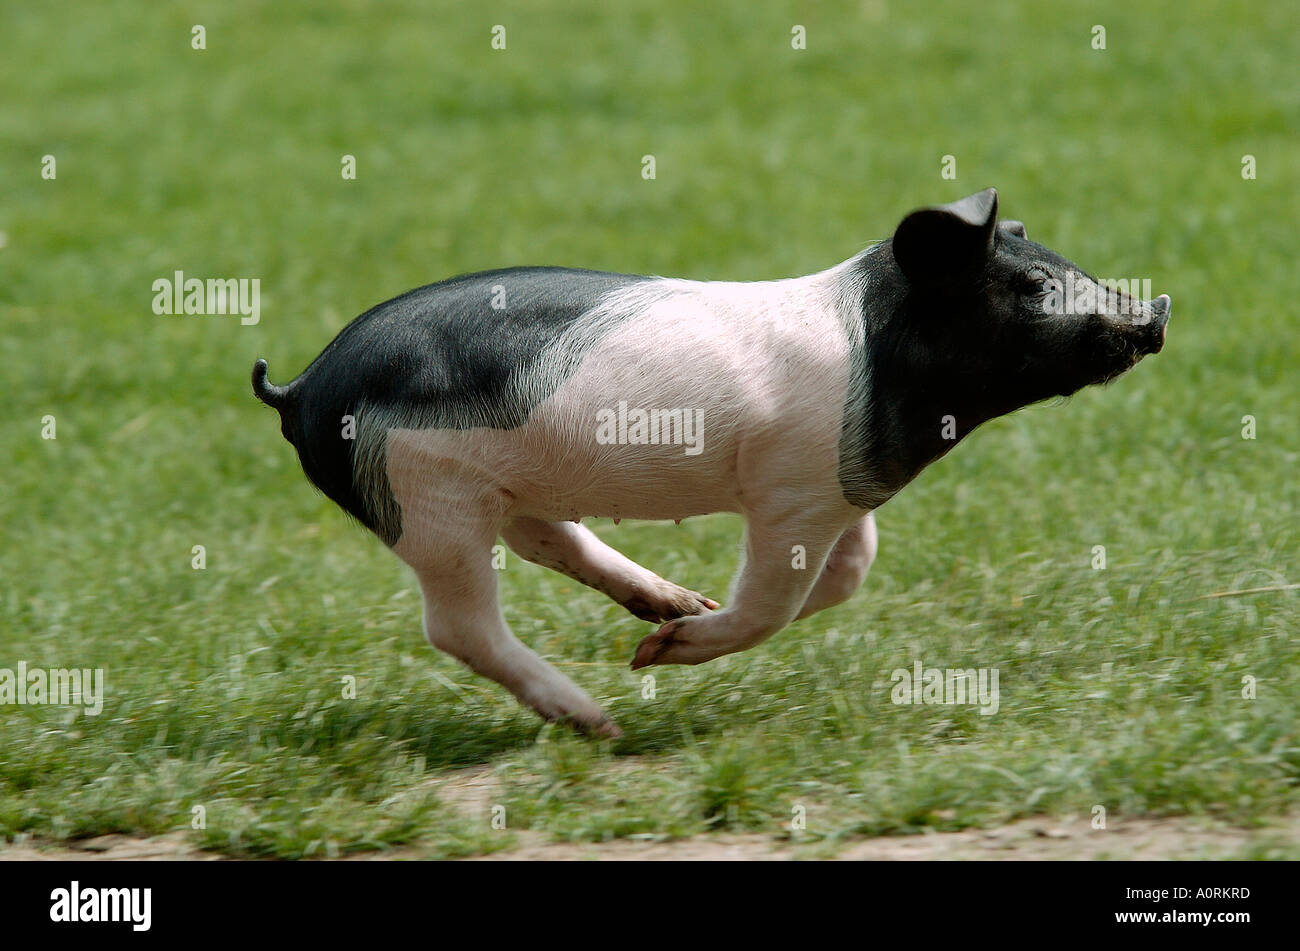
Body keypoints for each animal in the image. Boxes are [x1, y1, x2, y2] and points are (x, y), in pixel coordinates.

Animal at [252, 188, 1170, 737]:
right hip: (429, 497)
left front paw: (669, 631)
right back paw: (603, 718)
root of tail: (299, 387)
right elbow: (773, 597)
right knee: (458, 623)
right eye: (1032, 288)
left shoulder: (838, 488)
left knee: (548, 538)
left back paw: (667, 605)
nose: (1156, 312)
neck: (883, 360)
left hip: (498, 488)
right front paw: (658, 657)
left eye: (1066, 265)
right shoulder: (792, 486)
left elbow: (850, 572)